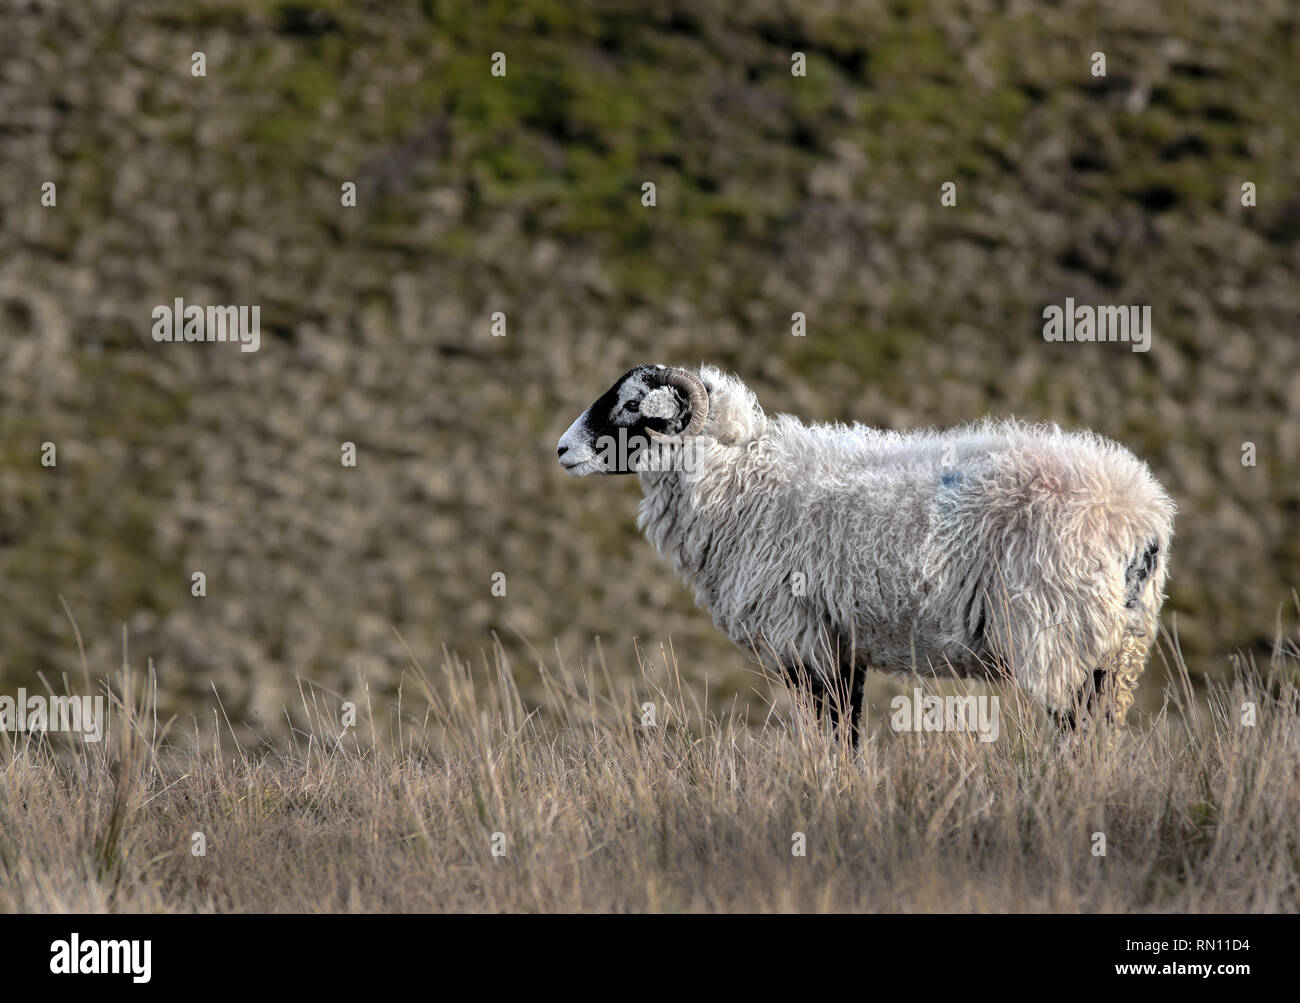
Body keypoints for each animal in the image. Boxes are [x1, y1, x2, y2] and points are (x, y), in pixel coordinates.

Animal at [557, 364, 1175, 745]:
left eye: (631, 406)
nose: (561, 449)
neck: (741, 482)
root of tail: (1140, 513)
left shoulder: (804, 639)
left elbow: (833, 738)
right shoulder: (840, 643)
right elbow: (847, 736)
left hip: (1058, 634)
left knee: (1075, 730)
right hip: (1120, 646)